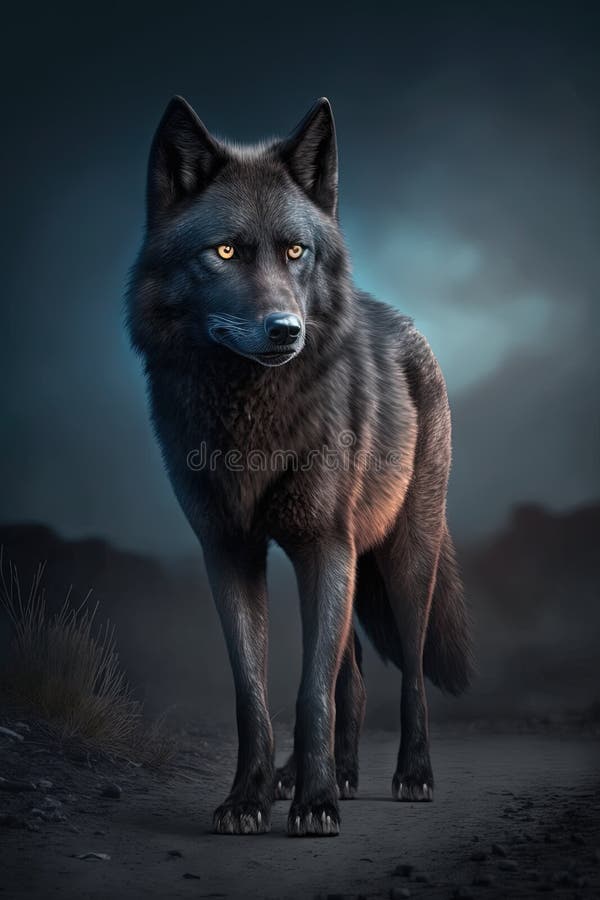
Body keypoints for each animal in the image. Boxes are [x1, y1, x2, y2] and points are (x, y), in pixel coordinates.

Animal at [127, 96, 473, 837]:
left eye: (295, 251)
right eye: (225, 250)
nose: (286, 330)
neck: (250, 420)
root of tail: (404, 323)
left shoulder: (323, 546)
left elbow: (310, 693)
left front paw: (314, 805)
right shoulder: (230, 551)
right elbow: (255, 695)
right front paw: (250, 798)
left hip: (405, 560)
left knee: (408, 676)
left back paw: (409, 775)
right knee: (355, 676)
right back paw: (336, 774)